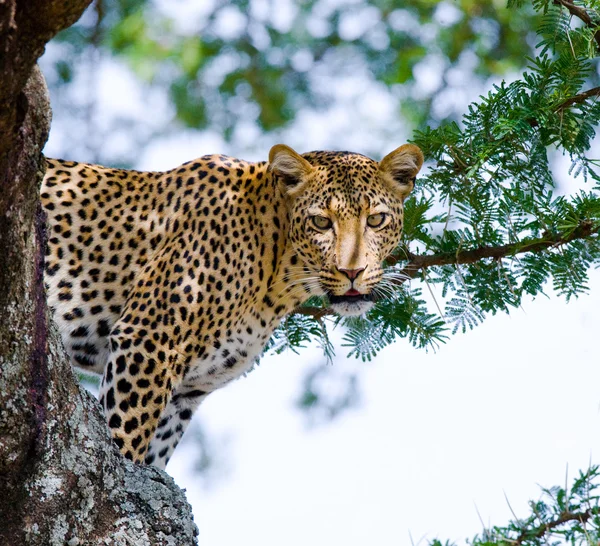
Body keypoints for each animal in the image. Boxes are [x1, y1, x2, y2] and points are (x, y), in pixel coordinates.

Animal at [41, 144, 422, 468]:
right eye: (321, 222)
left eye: (375, 220)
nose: (352, 272)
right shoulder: (147, 341)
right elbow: (125, 437)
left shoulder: (185, 392)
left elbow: (154, 459)